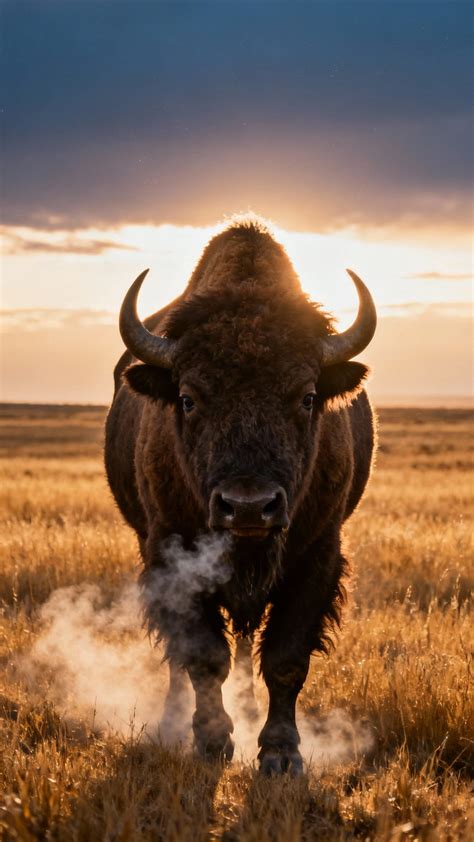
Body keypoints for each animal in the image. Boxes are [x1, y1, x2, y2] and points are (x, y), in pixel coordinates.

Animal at [105, 220, 376, 775]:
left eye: (307, 397)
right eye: (188, 398)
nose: (249, 506)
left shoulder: (318, 557)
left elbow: (286, 659)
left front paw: (280, 754)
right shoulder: (171, 557)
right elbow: (204, 657)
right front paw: (212, 743)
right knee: (182, 659)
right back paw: (174, 723)